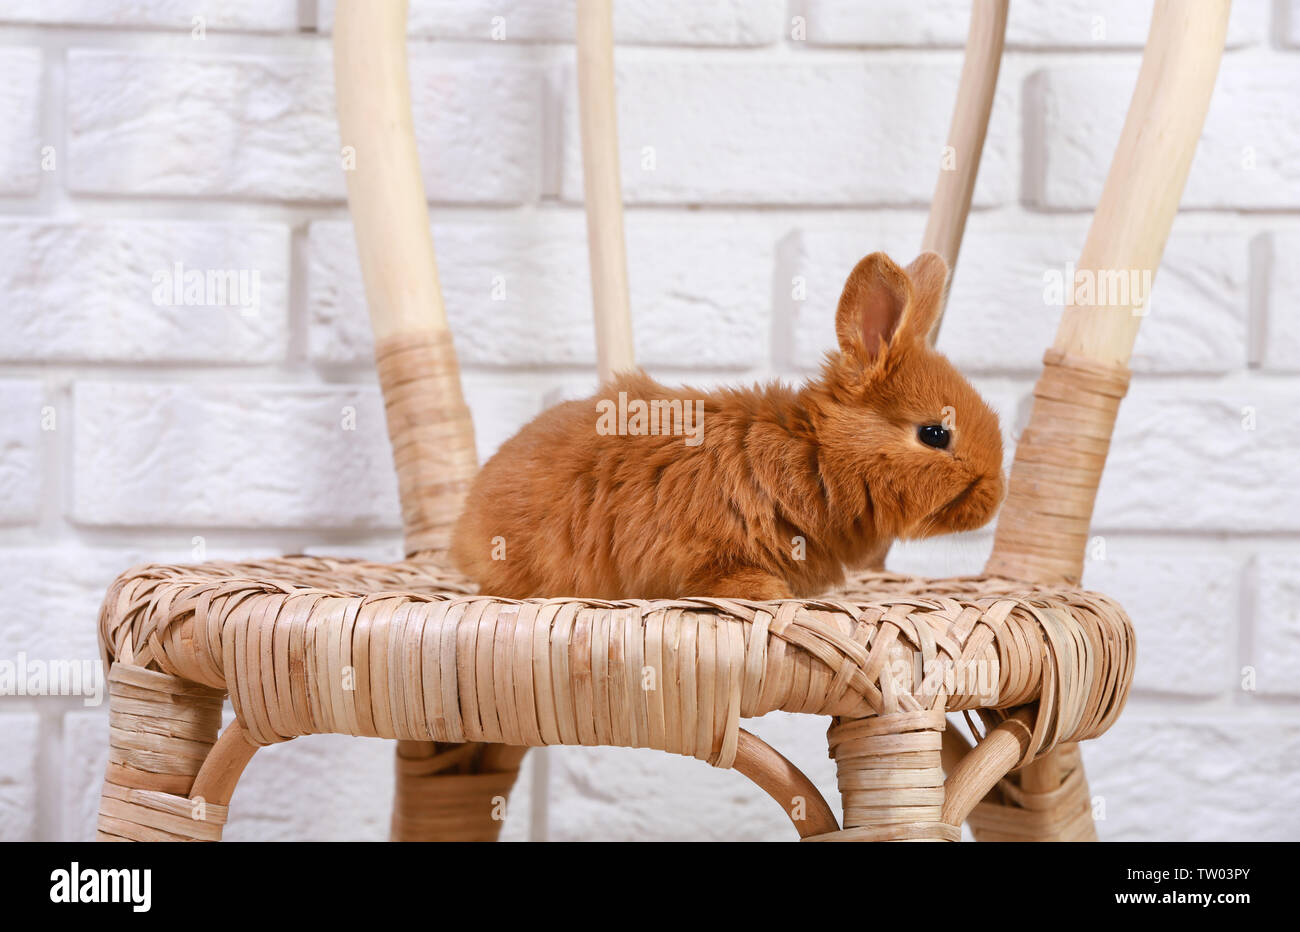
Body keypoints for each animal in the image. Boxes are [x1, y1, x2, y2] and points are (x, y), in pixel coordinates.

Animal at [451, 251, 1004, 601]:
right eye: (935, 434)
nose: (995, 498)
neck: (816, 454)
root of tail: (465, 525)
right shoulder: (704, 551)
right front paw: (768, 593)